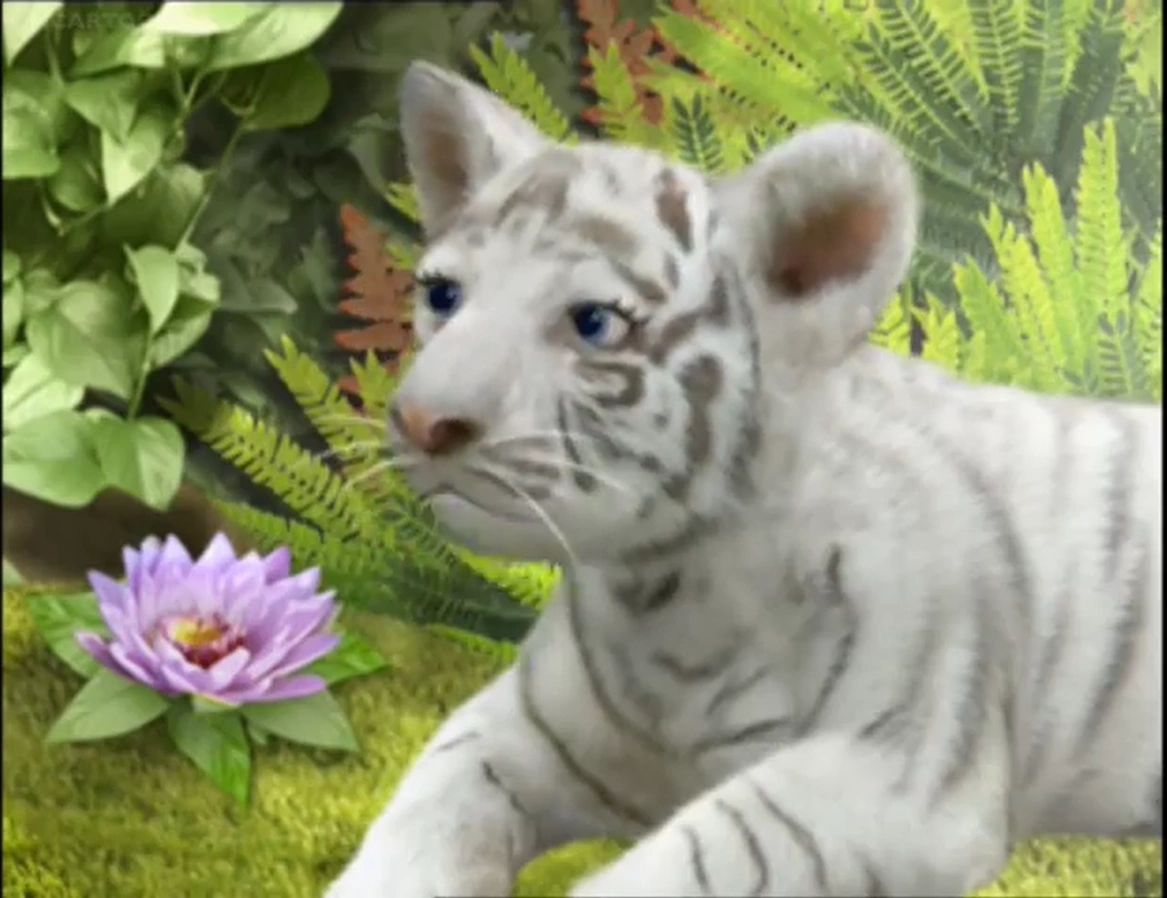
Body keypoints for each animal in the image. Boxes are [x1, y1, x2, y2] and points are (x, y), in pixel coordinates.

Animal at [324, 60, 1162, 897]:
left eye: (593, 323)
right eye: (443, 296)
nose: (422, 420)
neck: (662, 605)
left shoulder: (893, 775)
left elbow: (706, 850)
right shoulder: (525, 728)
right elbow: (430, 802)